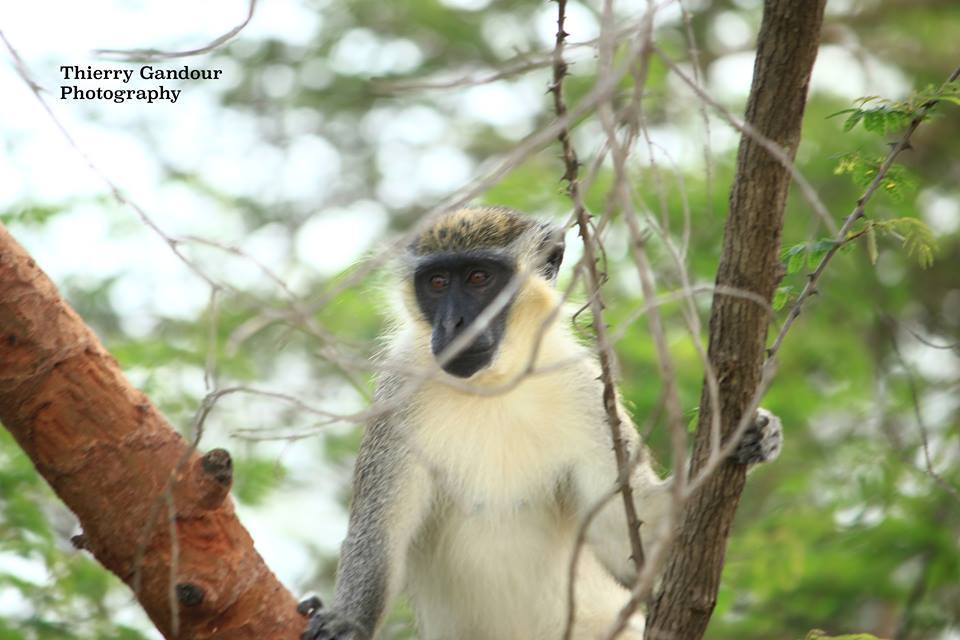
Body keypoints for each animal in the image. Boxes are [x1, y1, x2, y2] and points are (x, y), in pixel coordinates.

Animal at [301, 206, 783, 640]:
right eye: (436, 283)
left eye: (479, 278)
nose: (453, 323)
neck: (496, 381)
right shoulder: (396, 396)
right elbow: (380, 533)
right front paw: (349, 621)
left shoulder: (588, 393)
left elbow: (625, 534)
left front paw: (742, 439)